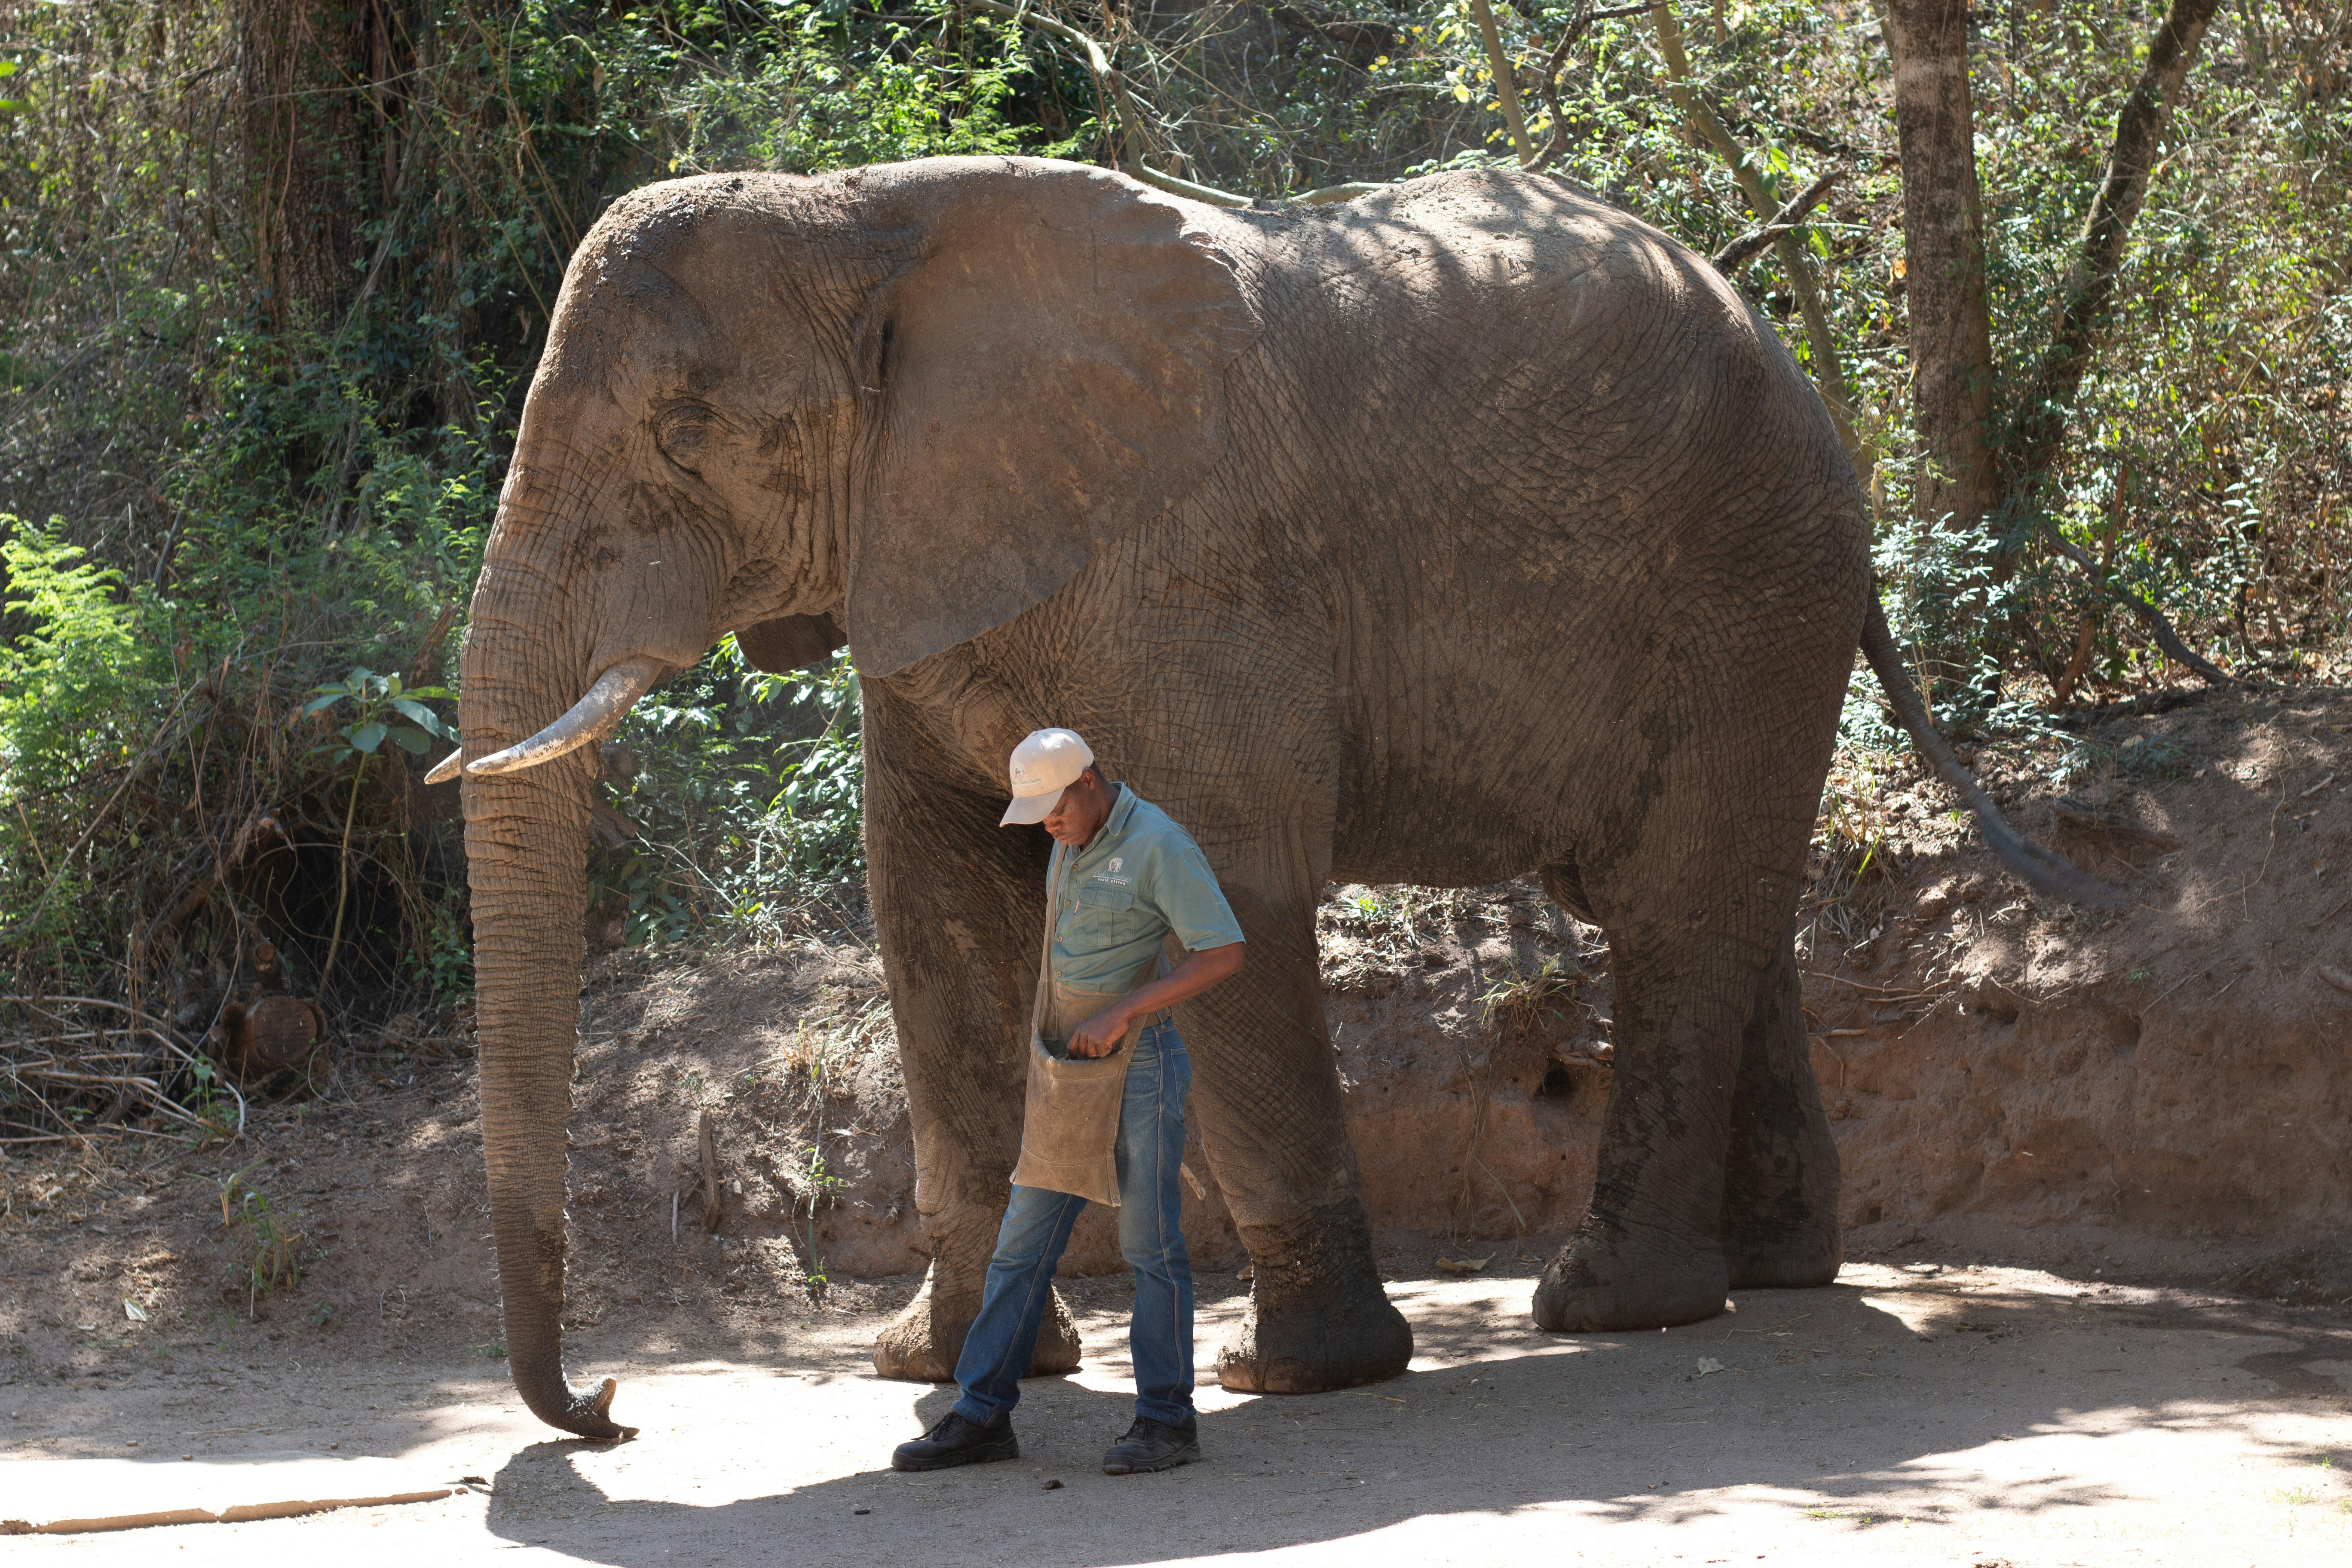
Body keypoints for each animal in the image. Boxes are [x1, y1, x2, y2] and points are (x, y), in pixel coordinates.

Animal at [437, 155, 2110, 1440]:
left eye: (682, 439)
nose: (609, 1407)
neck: (861, 216)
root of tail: (1799, 368)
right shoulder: (921, 566)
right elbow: (932, 913)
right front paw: (939, 1367)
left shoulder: (1188, 562)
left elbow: (1234, 886)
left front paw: (1293, 1377)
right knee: (1714, 906)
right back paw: (1770, 1272)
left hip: (1750, 587)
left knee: (1675, 910)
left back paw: (1607, 1304)